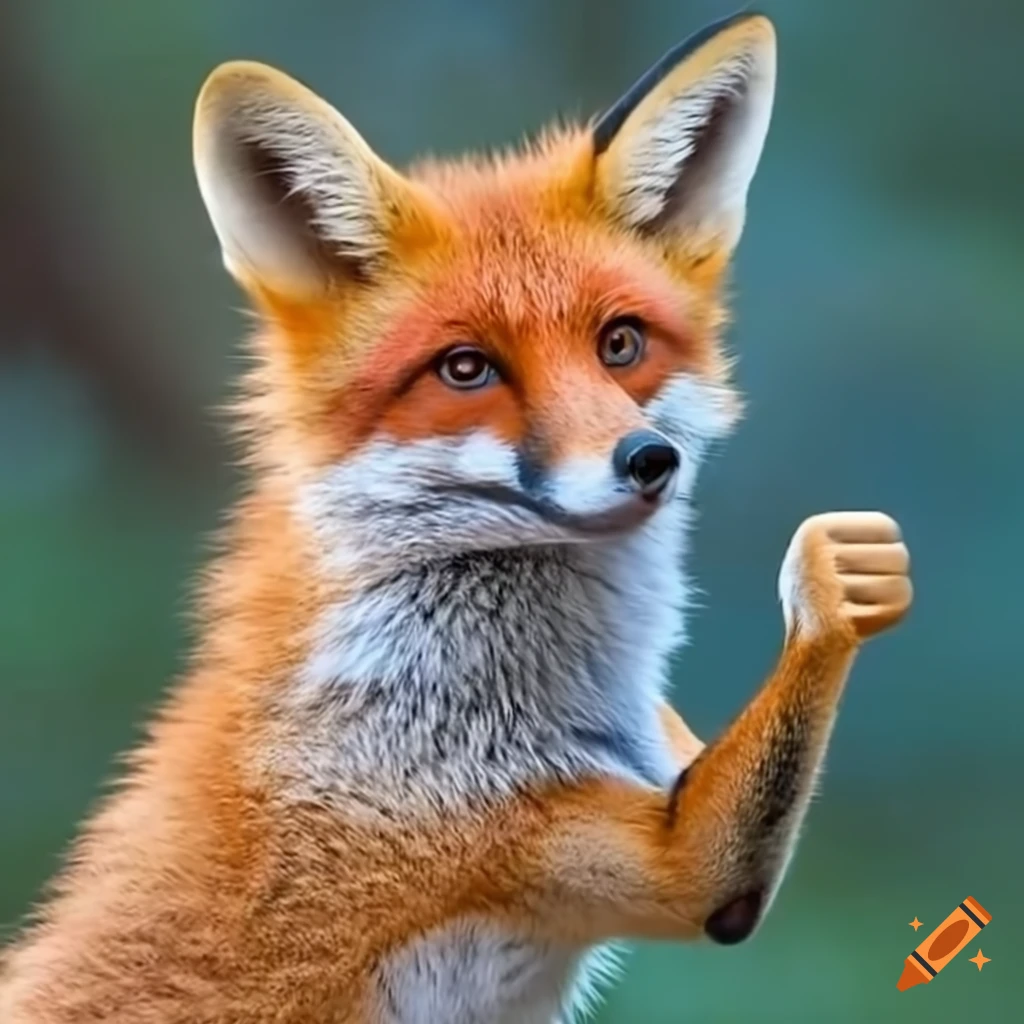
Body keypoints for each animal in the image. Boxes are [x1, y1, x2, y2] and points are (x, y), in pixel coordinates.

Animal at [0, 12, 912, 1024]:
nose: (649, 460)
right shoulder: (638, 858)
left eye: (620, 344)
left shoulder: (661, 768)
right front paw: (833, 586)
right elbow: (709, 859)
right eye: (466, 369)